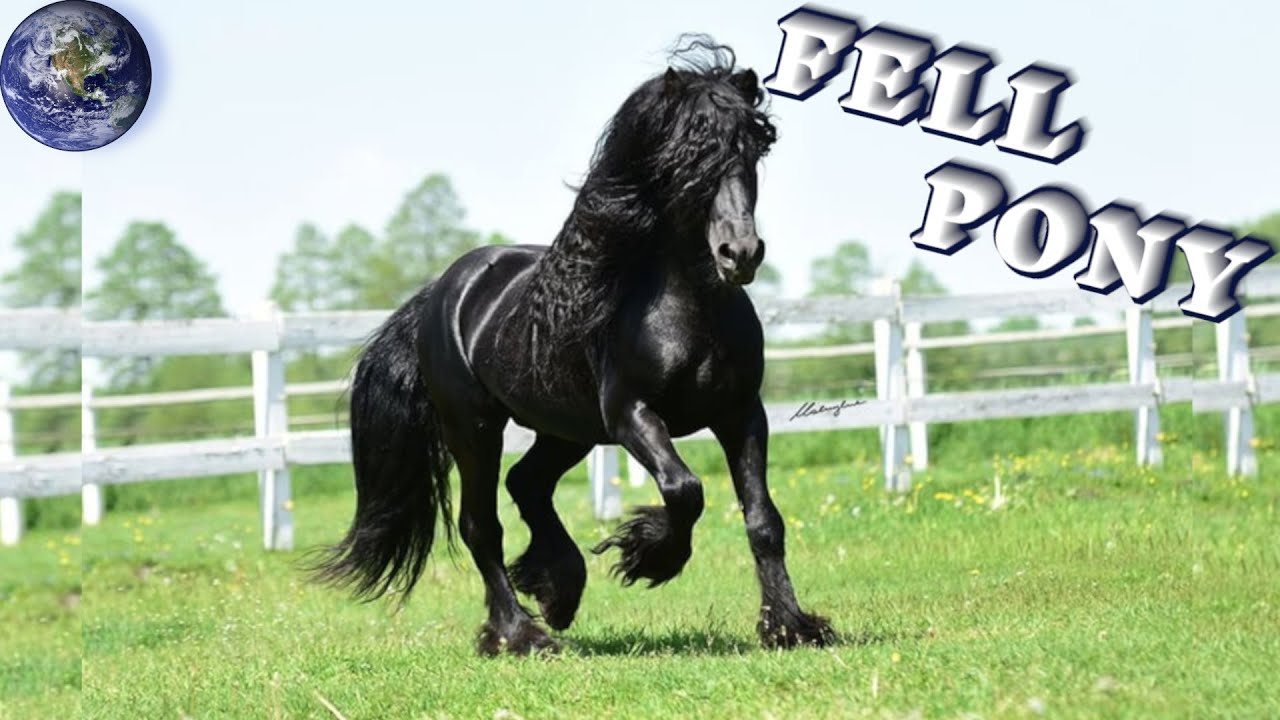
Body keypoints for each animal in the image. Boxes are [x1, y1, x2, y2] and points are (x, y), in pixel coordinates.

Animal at [310, 37, 836, 656]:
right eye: (688, 160)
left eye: (752, 152)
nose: (740, 253)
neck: (688, 311)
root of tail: (442, 292)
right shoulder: (632, 415)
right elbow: (684, 489)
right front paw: (650, 556)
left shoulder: (741, 414)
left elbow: (763, 520)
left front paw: (792, 625)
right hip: (475, 428)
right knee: (481, 524)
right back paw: (520, 633)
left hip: (567, 430)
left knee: (527, 485)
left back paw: (558, 591)